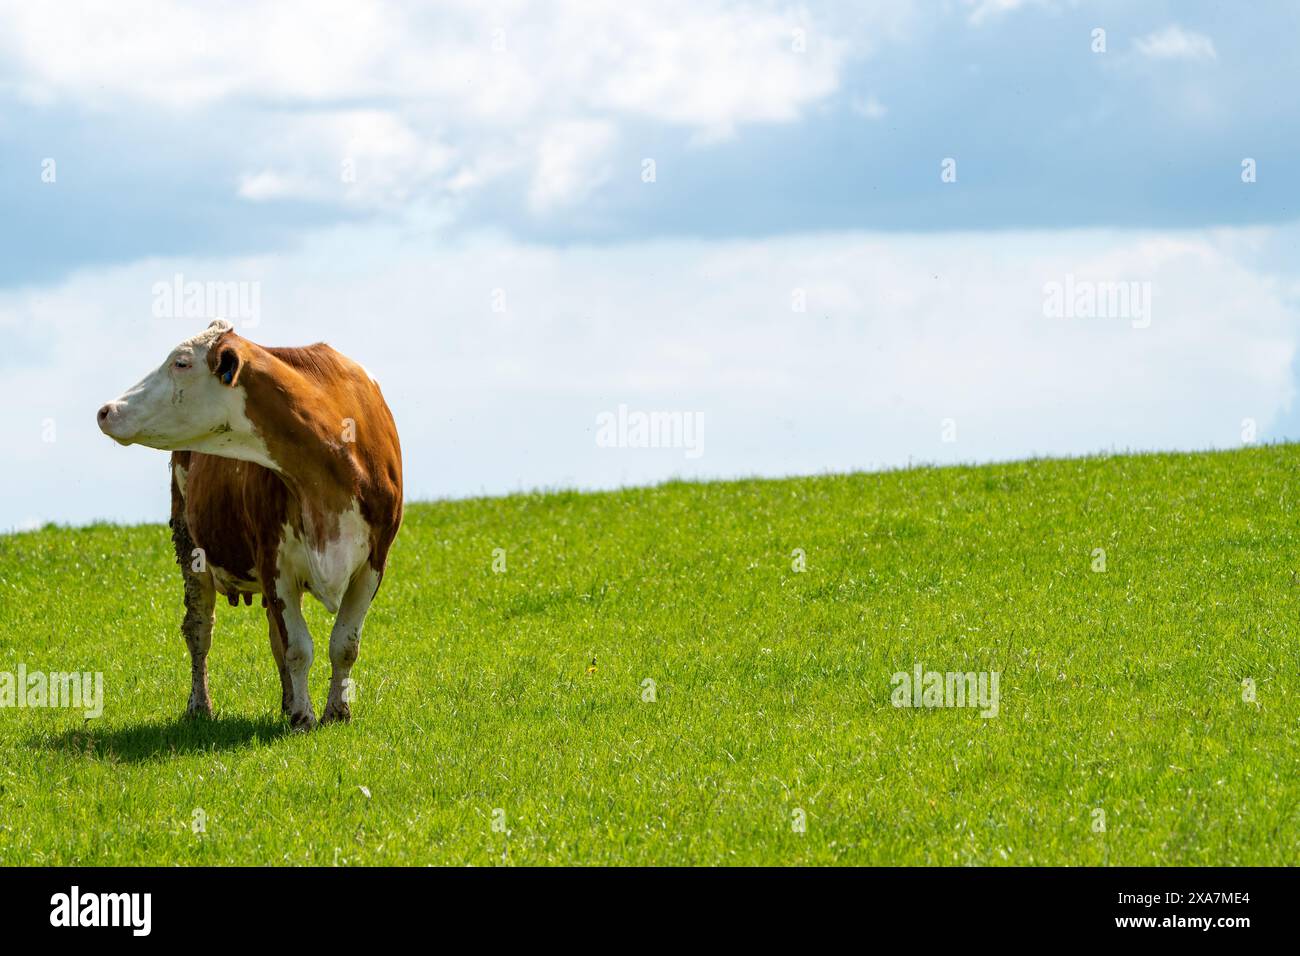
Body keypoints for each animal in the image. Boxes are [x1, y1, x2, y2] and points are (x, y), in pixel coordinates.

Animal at [96, 319, 403, 729]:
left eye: (181, 363)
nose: (106, 410)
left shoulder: (373, 562)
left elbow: (344, 645)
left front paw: (336, 713)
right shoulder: (273, 560)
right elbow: (298, 648)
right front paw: (304, 718)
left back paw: (287, 702)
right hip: (189, 545)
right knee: (198, 630)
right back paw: (200, 705)